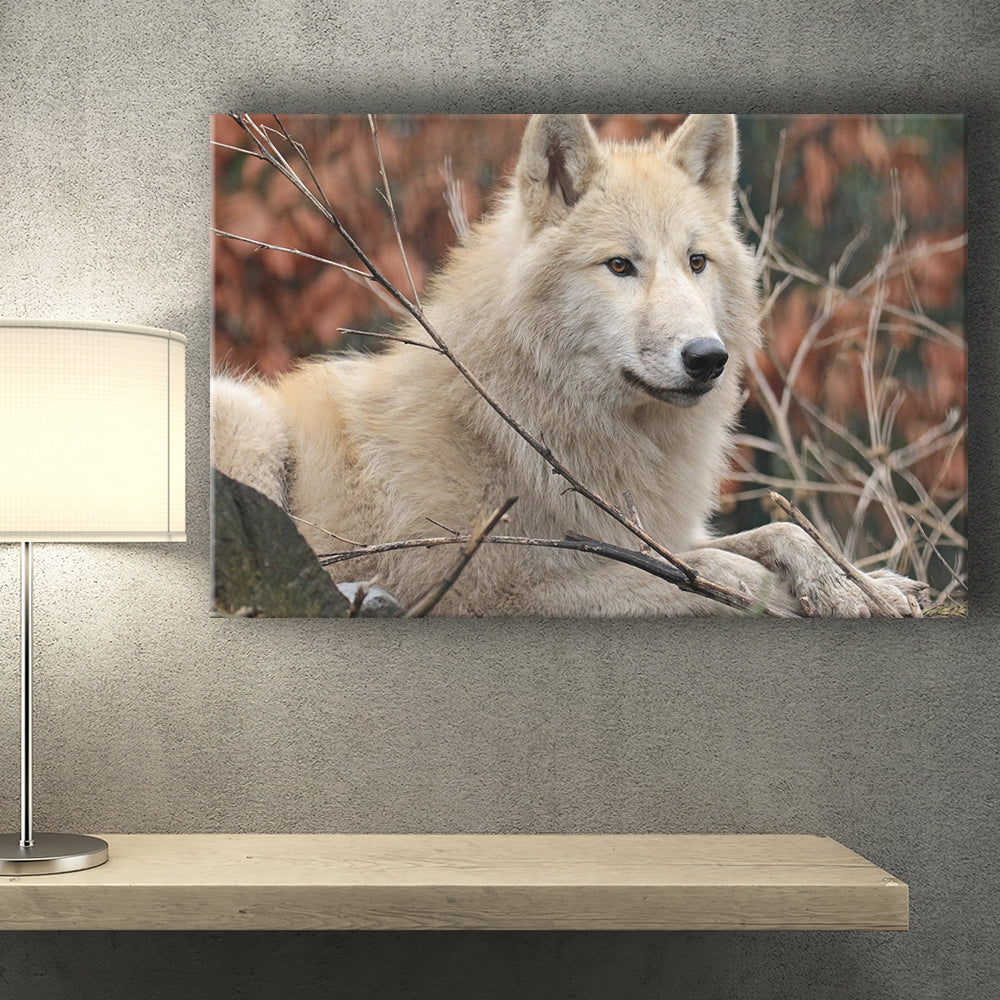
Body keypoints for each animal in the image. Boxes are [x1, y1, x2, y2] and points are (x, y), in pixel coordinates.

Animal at [213, 113, 923, 616]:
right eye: (620, 265)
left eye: (696, 262)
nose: (708, 358)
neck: (523, 418)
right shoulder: (498, 585)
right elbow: (714, 578)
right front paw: (779, 589)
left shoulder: (648, 531)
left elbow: (776, 532)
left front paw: (866, 585)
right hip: (250, 423)